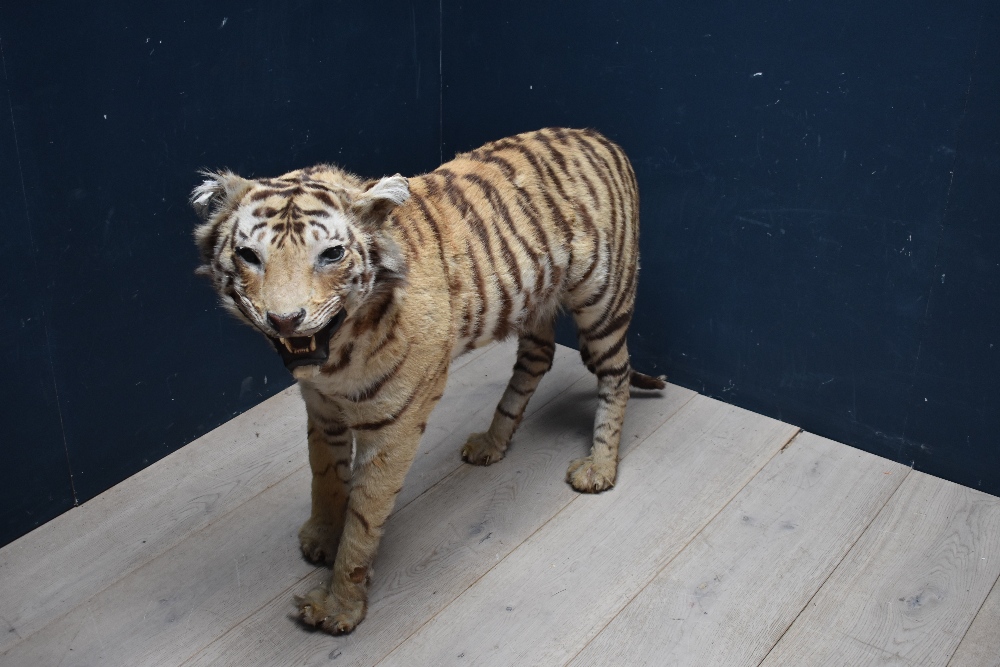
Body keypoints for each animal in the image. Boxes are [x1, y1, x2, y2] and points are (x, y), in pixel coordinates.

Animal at [190, 127, 665, 634]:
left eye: (331, 254)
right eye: (249, 256)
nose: (284, 320)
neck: (337, 353)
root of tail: (601, 136)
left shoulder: (392, 428)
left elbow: (364, 516)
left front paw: (339, 605)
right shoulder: (320, 407)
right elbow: (324, 476)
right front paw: (321, 535)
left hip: (603, 299)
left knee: (615, 375)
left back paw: (599, 468)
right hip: (536, 298)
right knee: (538, 357)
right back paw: (493, 442)